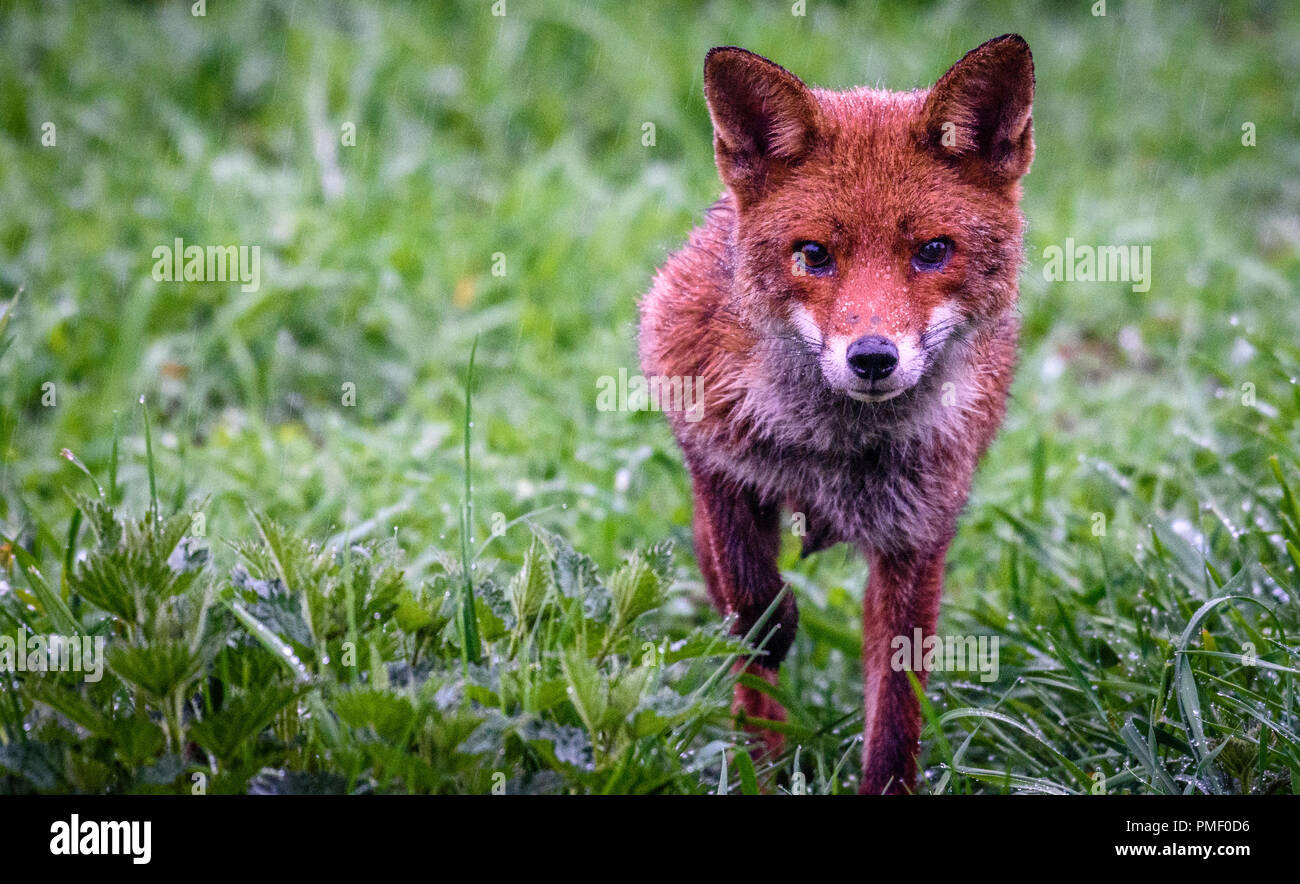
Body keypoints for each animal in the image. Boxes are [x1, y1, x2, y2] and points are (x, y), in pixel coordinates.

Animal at [637, 35, 1034, 794]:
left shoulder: (919, 531)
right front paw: (767, 684)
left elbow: (898, 700)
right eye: (814, 254)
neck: (829, 446)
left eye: (932, 251)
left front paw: (884, 782)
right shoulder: (715, 456)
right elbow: (754, 606)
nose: (872, 357)